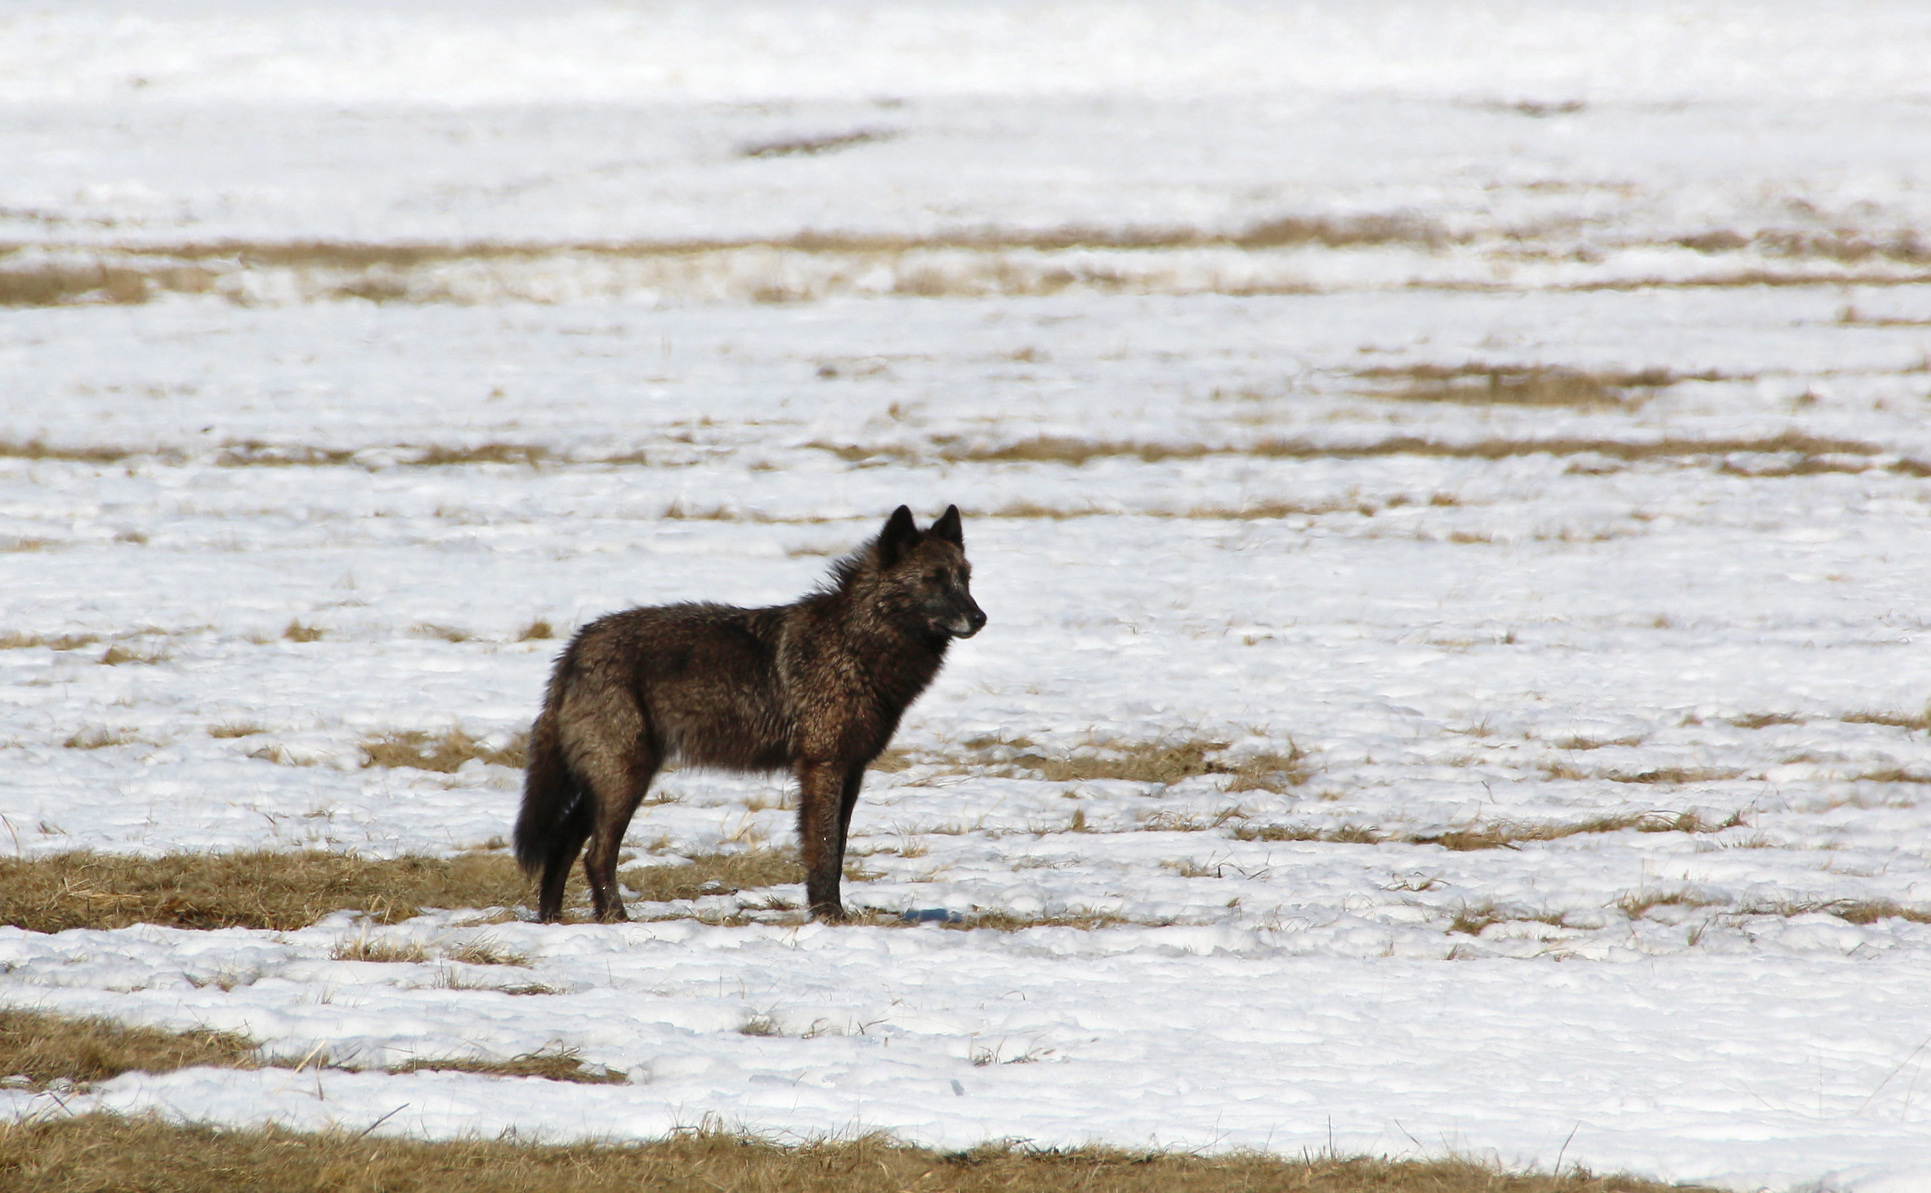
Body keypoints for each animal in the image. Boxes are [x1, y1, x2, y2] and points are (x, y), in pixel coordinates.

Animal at [513, 505, 985, 923]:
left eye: (964, 579)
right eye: (933, 581)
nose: (980, 618)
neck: (855, 644)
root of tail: (576, 646)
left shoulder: (852, 770)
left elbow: (836, 850)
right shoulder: (824, 766)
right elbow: (825, 850)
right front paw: (829, 917)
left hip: (607, 783)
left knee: (564, 845)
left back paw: (552, 920)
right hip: (625, 780)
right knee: (596, 855)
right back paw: (615, 920)